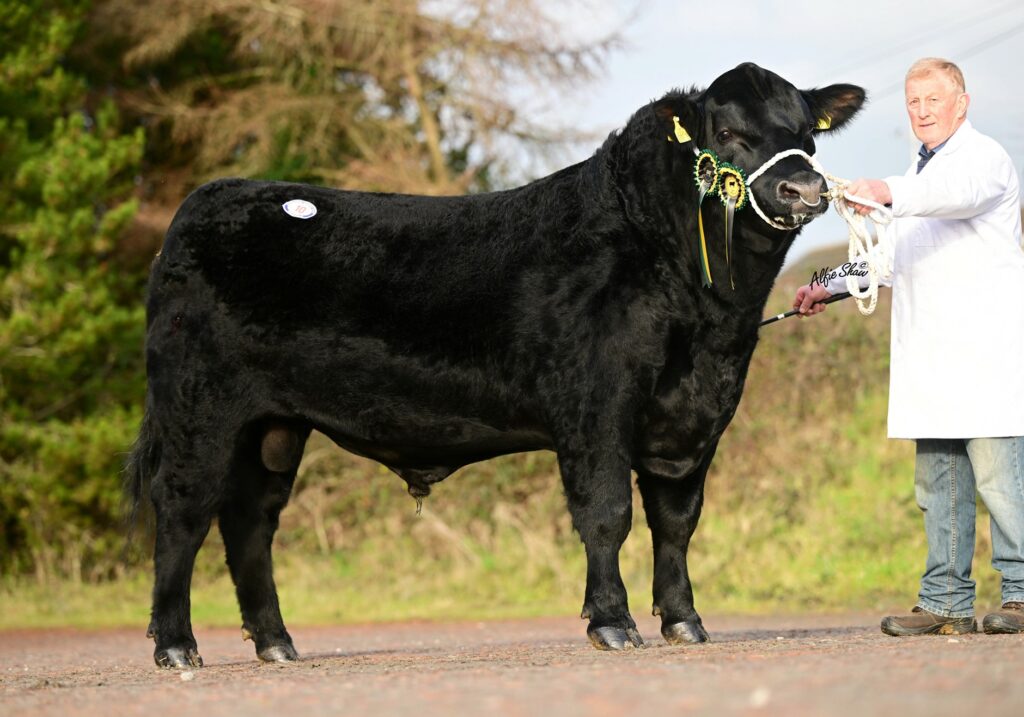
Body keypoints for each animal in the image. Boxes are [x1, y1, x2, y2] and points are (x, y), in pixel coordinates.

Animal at [127, 62, 865, 668]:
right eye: (730, 130)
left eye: (808, 133)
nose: (804, 189)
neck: (710, 319)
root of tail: (206, 201)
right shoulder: (597, 405)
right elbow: (607, 512)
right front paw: (612, 622)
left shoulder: (694, 416)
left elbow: (677, 522)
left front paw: (684, 620)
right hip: (199, 409)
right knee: (183, 511)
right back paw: (177, 644)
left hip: (273, 428)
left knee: (250, 522)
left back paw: (276, 642)